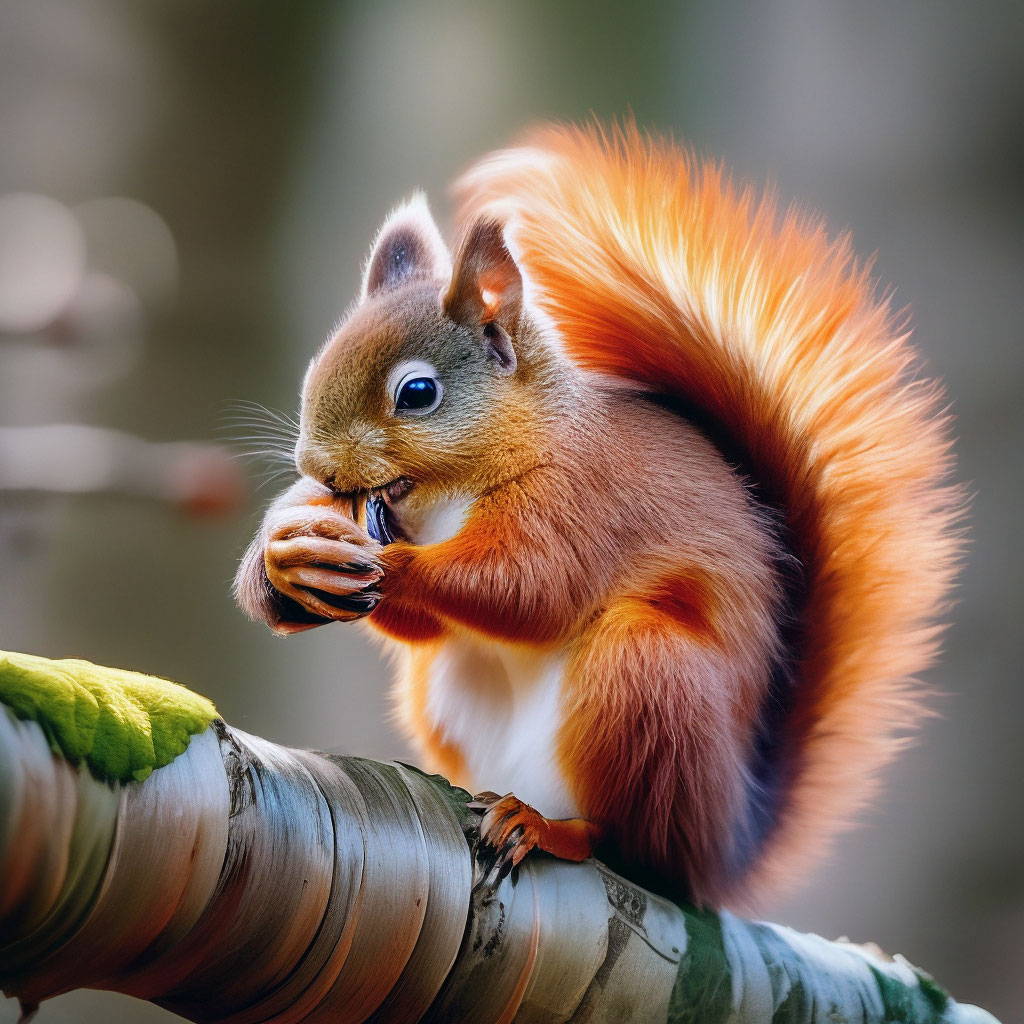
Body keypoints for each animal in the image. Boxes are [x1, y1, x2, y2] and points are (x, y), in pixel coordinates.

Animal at [234, 122, 961, 909]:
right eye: (318, 367)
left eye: (418, 393)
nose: (318, 469)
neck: (444, 495)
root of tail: (721, 850)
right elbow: (428, 625)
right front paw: (286, 557)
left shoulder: (581, 502)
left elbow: (529, 588)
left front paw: (394, 565)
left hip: (646, 680)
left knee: (629, 844)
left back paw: (547, 828)